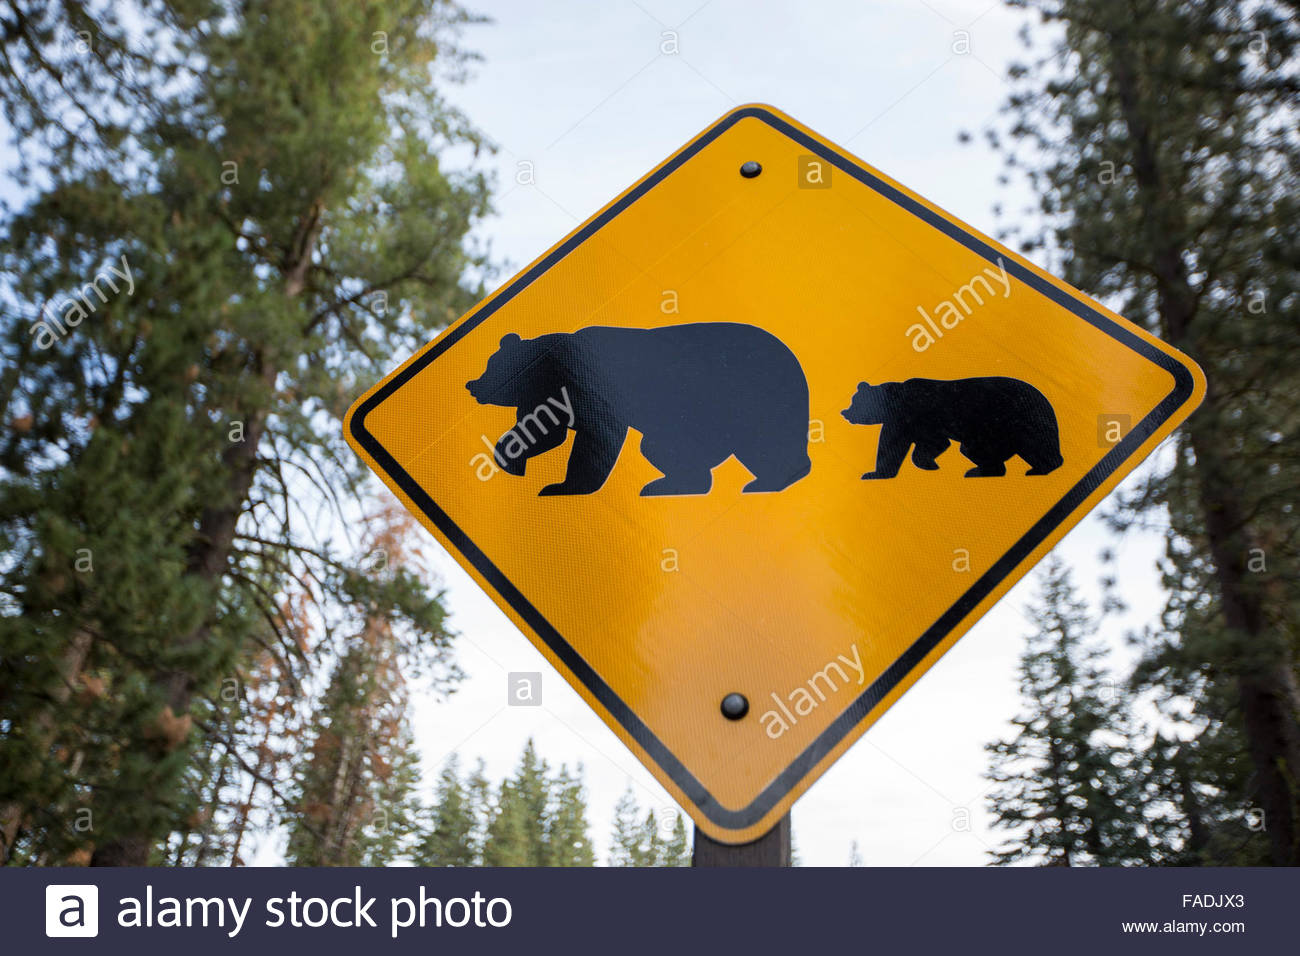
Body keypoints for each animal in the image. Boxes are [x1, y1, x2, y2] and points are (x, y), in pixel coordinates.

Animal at [466, 322, 812, 496]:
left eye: (491, 365)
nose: (472, 384)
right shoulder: (549, 400)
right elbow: (545, 433)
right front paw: (514, 461)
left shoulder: (585, 387)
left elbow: (595, 439)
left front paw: (561, 486)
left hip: (746, 406)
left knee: (764, 447)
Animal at [841, 376, 1063, 479]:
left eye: (855, 402)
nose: (845, 412)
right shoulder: (913, 424)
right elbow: (917, 444)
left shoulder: (911, 417)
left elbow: (899, 445)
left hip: (1012, 424)